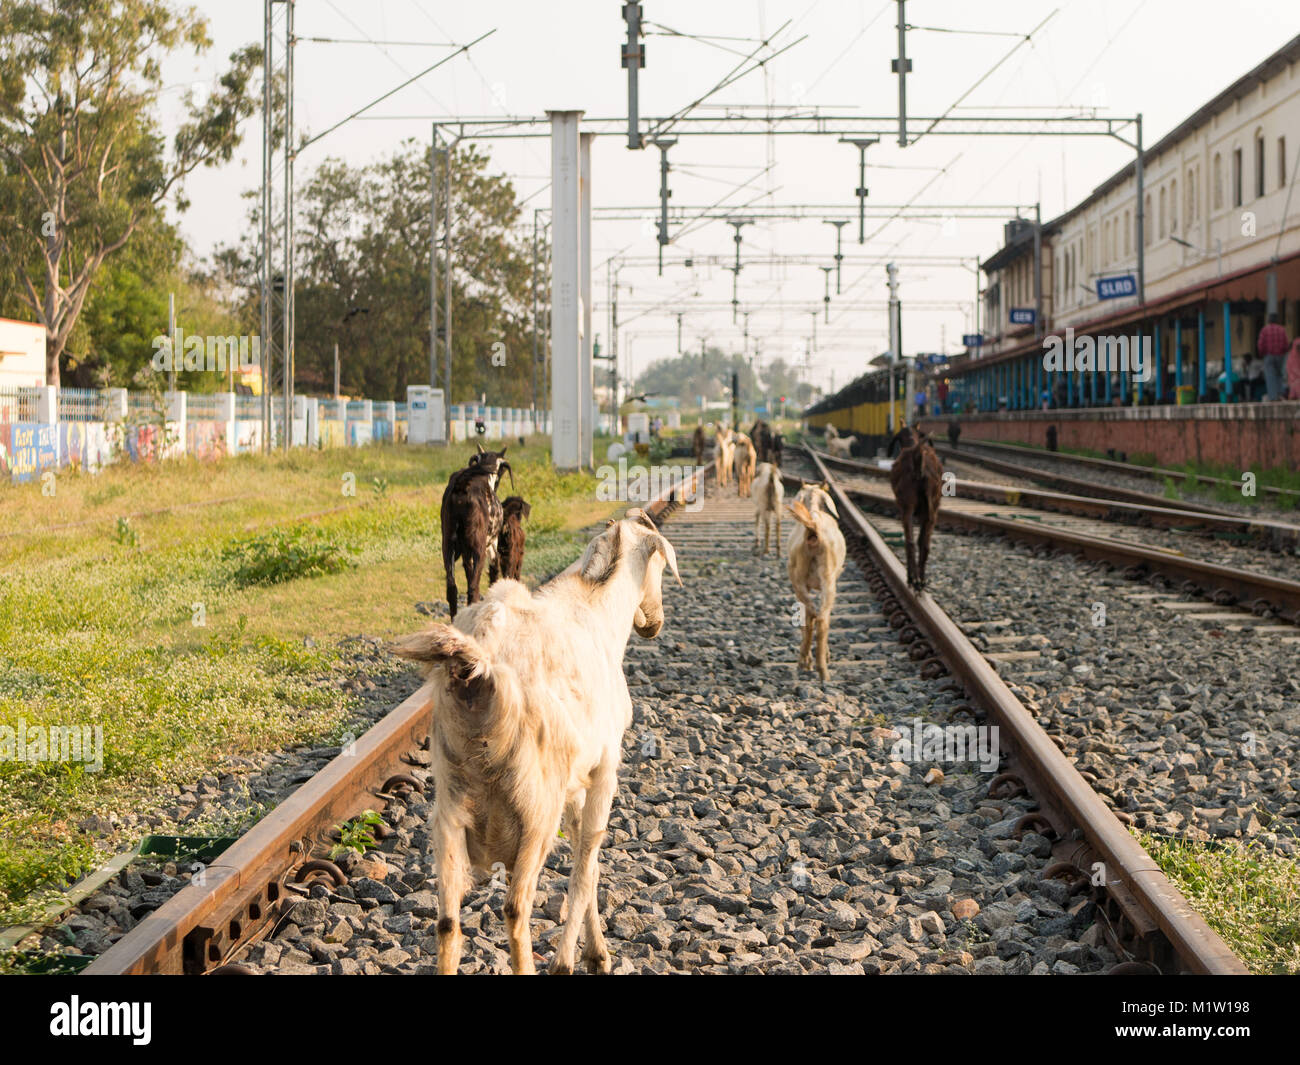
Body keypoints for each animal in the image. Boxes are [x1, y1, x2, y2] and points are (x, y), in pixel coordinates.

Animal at [392, 508, 681, 975]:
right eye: (657, 565)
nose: (653, 623)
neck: (596, 610)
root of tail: (478, 667)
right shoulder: (604, 770)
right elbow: (586, 861)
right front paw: (575, 960)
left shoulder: (575, 783)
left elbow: (586, 855)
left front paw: (597, 952)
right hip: (534, 811)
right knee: (515, 907)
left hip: (450, 809)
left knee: (448, 920)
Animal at [440, 445, 513, 618]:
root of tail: (461, 486)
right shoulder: (491, 546)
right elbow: (494, 573)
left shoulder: (466, 554)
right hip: (479, 549)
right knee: (473, 588)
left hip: (448, 546)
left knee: (452, 588)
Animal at [786, 483, 847, 681]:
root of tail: (813, 527)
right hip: (826, 581)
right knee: (820, 618)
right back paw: (819, 667)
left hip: (801, 580)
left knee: (813, 615)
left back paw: (808, 662)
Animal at [887, 426, 943, 591]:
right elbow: (921, 541)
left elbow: (911, 540)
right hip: (933, 511)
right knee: (925, 545)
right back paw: (922, 579)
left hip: (907, 509)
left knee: (909, 542)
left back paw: (912, 578)